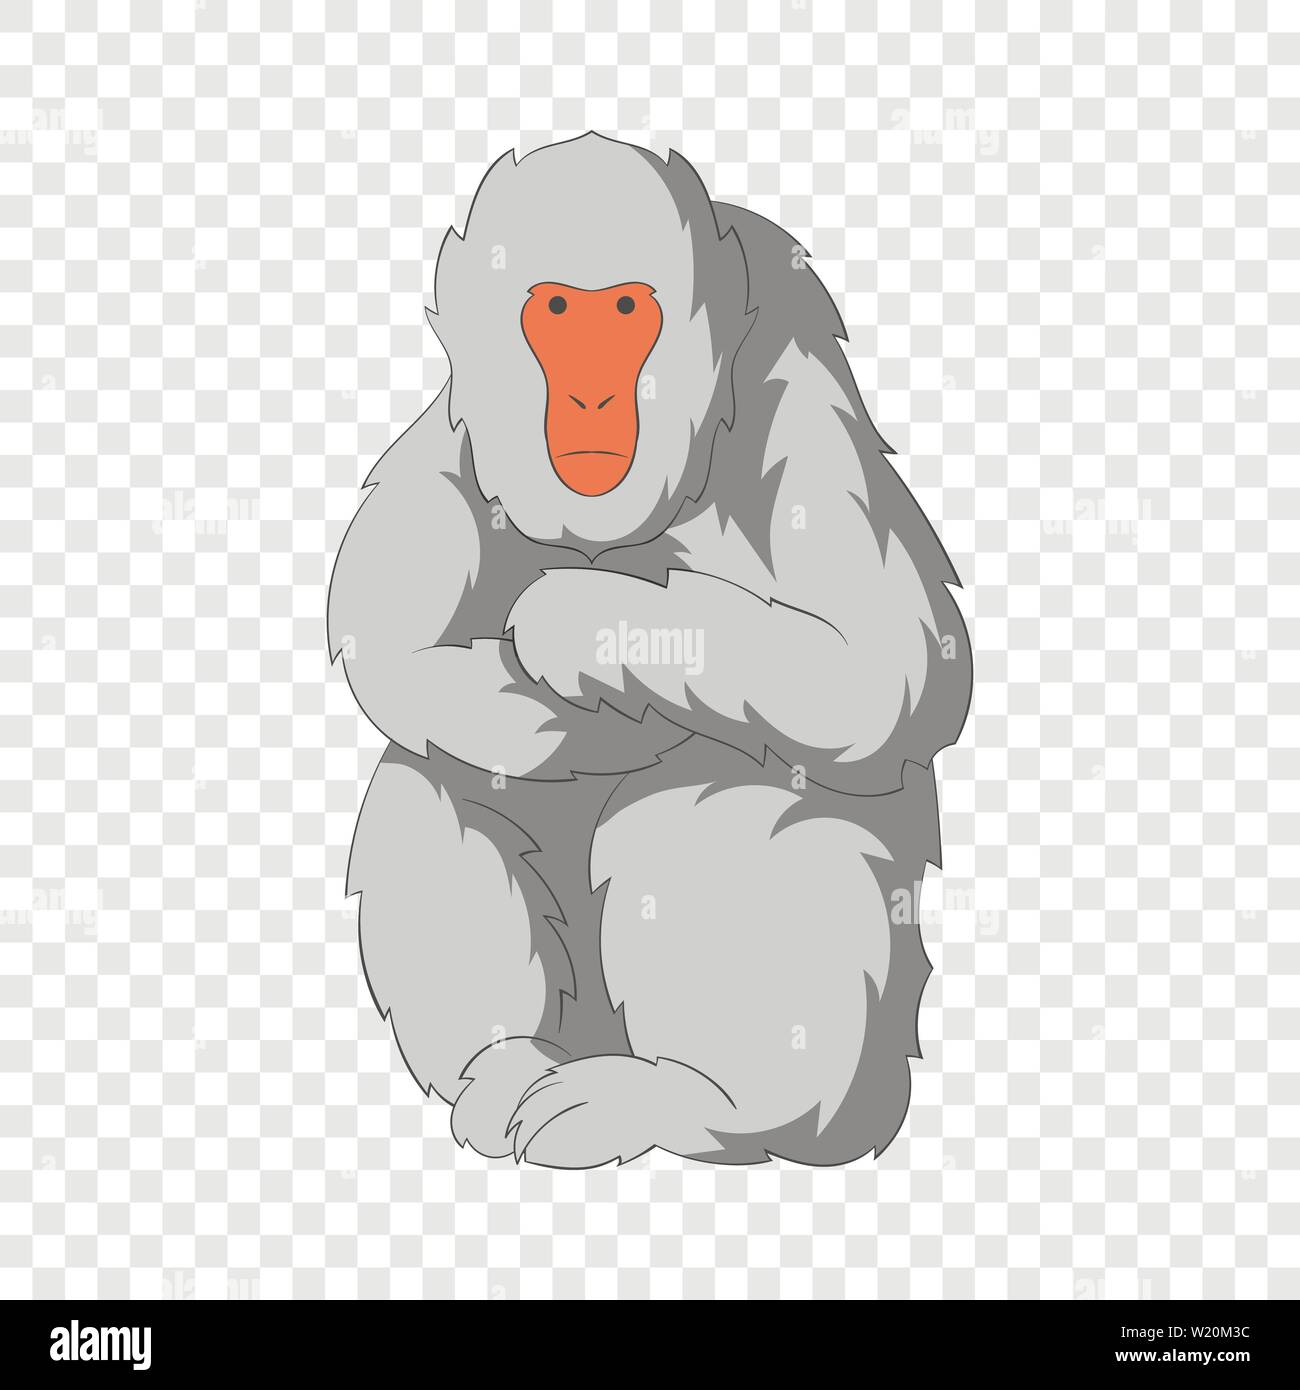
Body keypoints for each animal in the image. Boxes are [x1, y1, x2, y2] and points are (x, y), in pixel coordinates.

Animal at [327, 133, 972, 1167]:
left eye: (627, 312)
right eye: (556, 311)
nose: (591, 394)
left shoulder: (799, 390)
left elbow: (881, 672)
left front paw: (580, 626)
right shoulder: (458, 424)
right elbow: (387, 646)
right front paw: (572, 725)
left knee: (721, 787)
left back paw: (697, 1103)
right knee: (429, 773)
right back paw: (502, 1066)